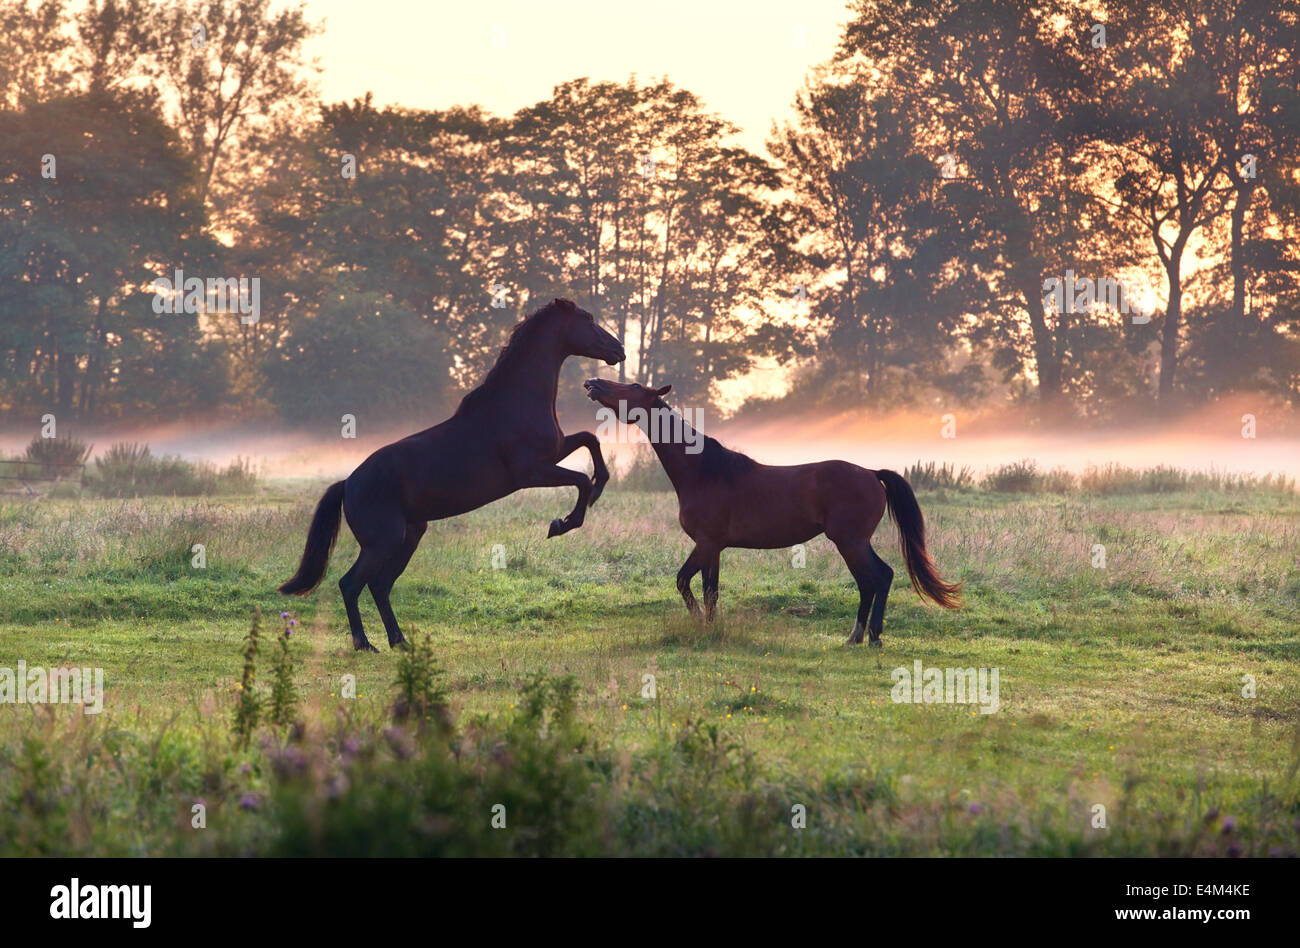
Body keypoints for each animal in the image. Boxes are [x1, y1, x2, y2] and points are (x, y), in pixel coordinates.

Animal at [280, 298, 625, 651]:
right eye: (587, 320)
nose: (620, 349)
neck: (515, 404)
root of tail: (349, 483)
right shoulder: (532, 472)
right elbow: (580, 479)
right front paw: (562, 524)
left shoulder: (554, 453)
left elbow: (590, 440)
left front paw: (599, 487)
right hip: (382, 542)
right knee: (351, 584)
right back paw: (365, 644)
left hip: (409, 536)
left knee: (380, 585)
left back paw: (399, 641)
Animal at [583, 377, 960, 645]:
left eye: (634, 387)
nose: (592, 382)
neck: (704, 470)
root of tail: (871, 474)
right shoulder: (714, 548)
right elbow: (710, 590)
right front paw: (711, 627)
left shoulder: (705, 543)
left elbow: (683, 581)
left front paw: (699, 623)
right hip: (852, 542)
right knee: (872, 581)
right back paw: (856, 637)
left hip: (850, 541)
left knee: (877, 579)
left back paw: (871, 637)